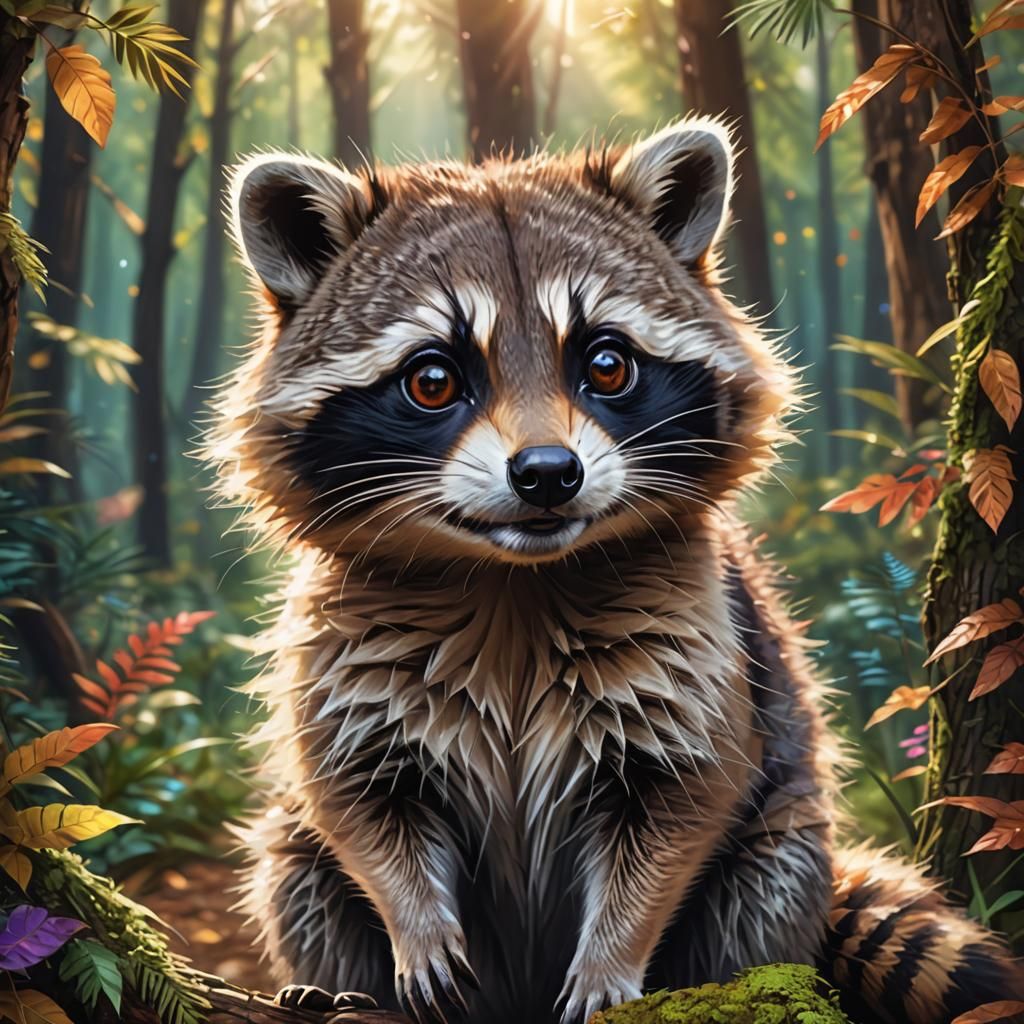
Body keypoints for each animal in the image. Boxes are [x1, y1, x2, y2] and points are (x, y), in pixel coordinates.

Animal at [207, 120, 1024, 1024]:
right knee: (293, 869)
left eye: (606, 364)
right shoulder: (344, 657)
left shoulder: (700, 649)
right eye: (433, 380)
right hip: (294, 851)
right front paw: (415, 923)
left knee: (767, 888)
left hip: (783, 839)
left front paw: (611, 959)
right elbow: (356, 802)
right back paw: (337, 983)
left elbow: (679, 810)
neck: (514, 577)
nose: (547, 474)